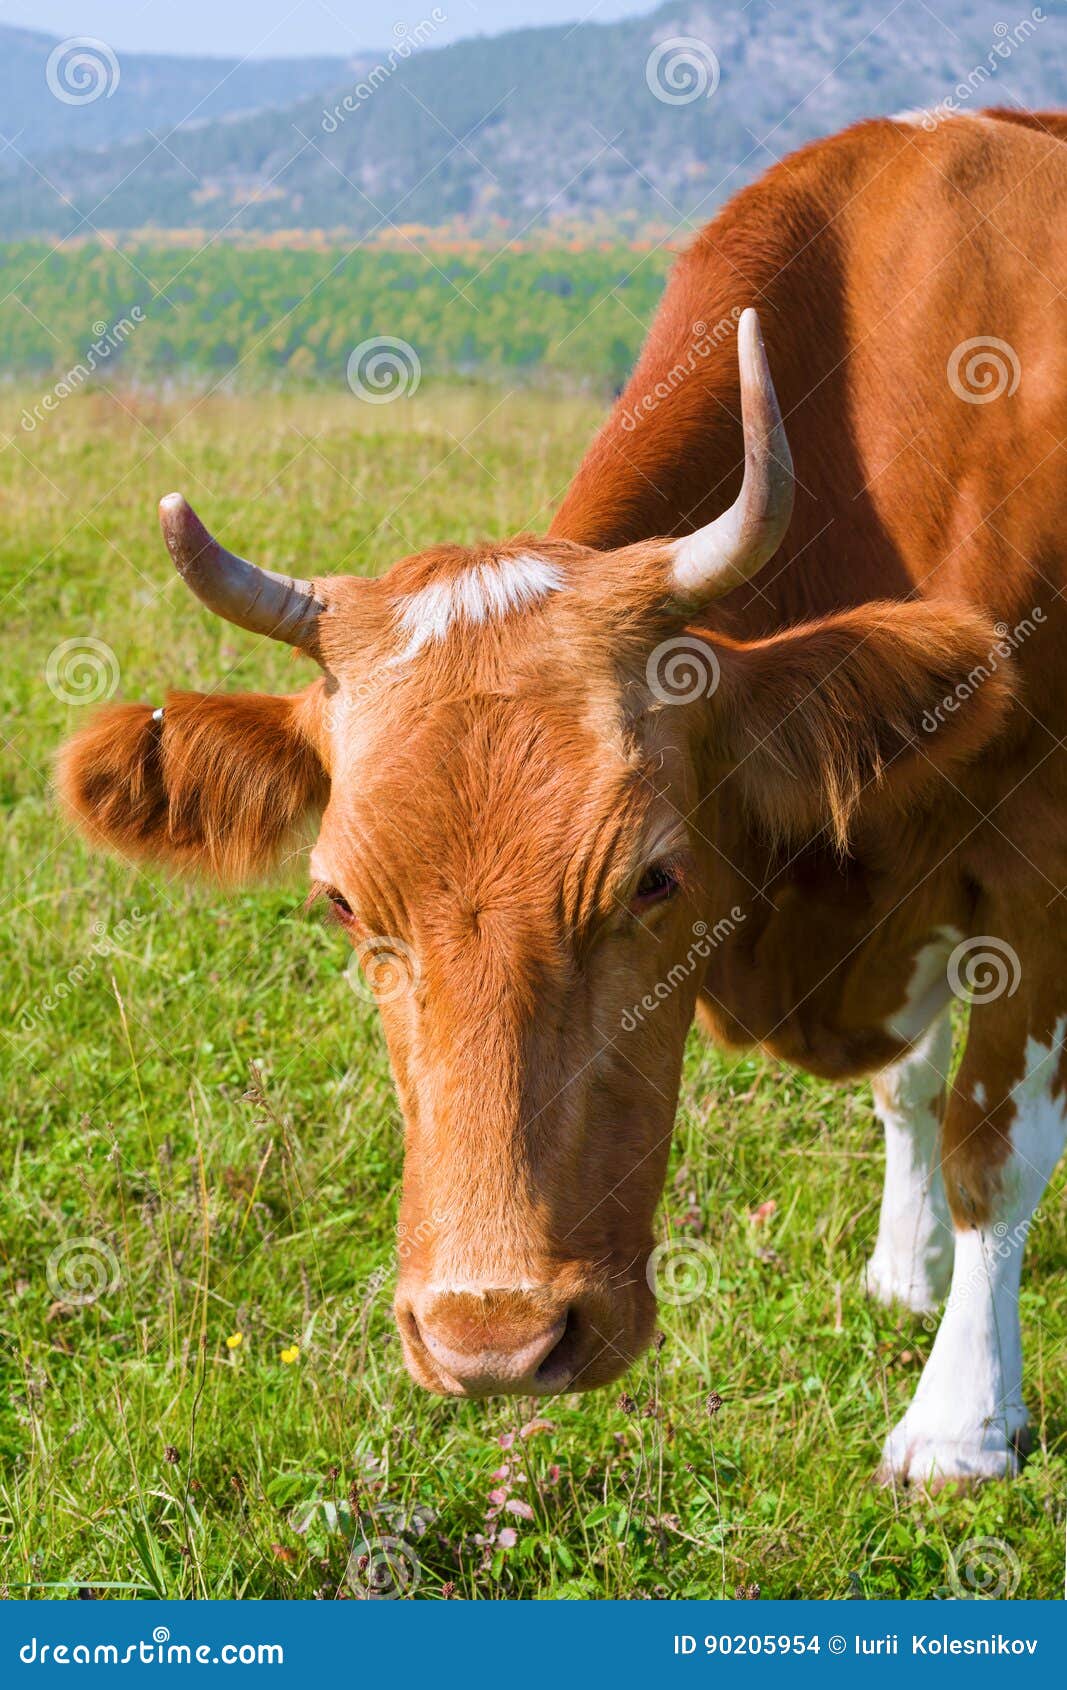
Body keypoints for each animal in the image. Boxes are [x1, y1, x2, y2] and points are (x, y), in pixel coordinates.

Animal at [58, 110, 1066, 1488]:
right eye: (339, 903)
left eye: (652, 877)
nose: (490, 1338)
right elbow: (908, 1087)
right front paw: (900, 1272)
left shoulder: (1036, 868)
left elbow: (990, 1141)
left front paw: (959, 1416)